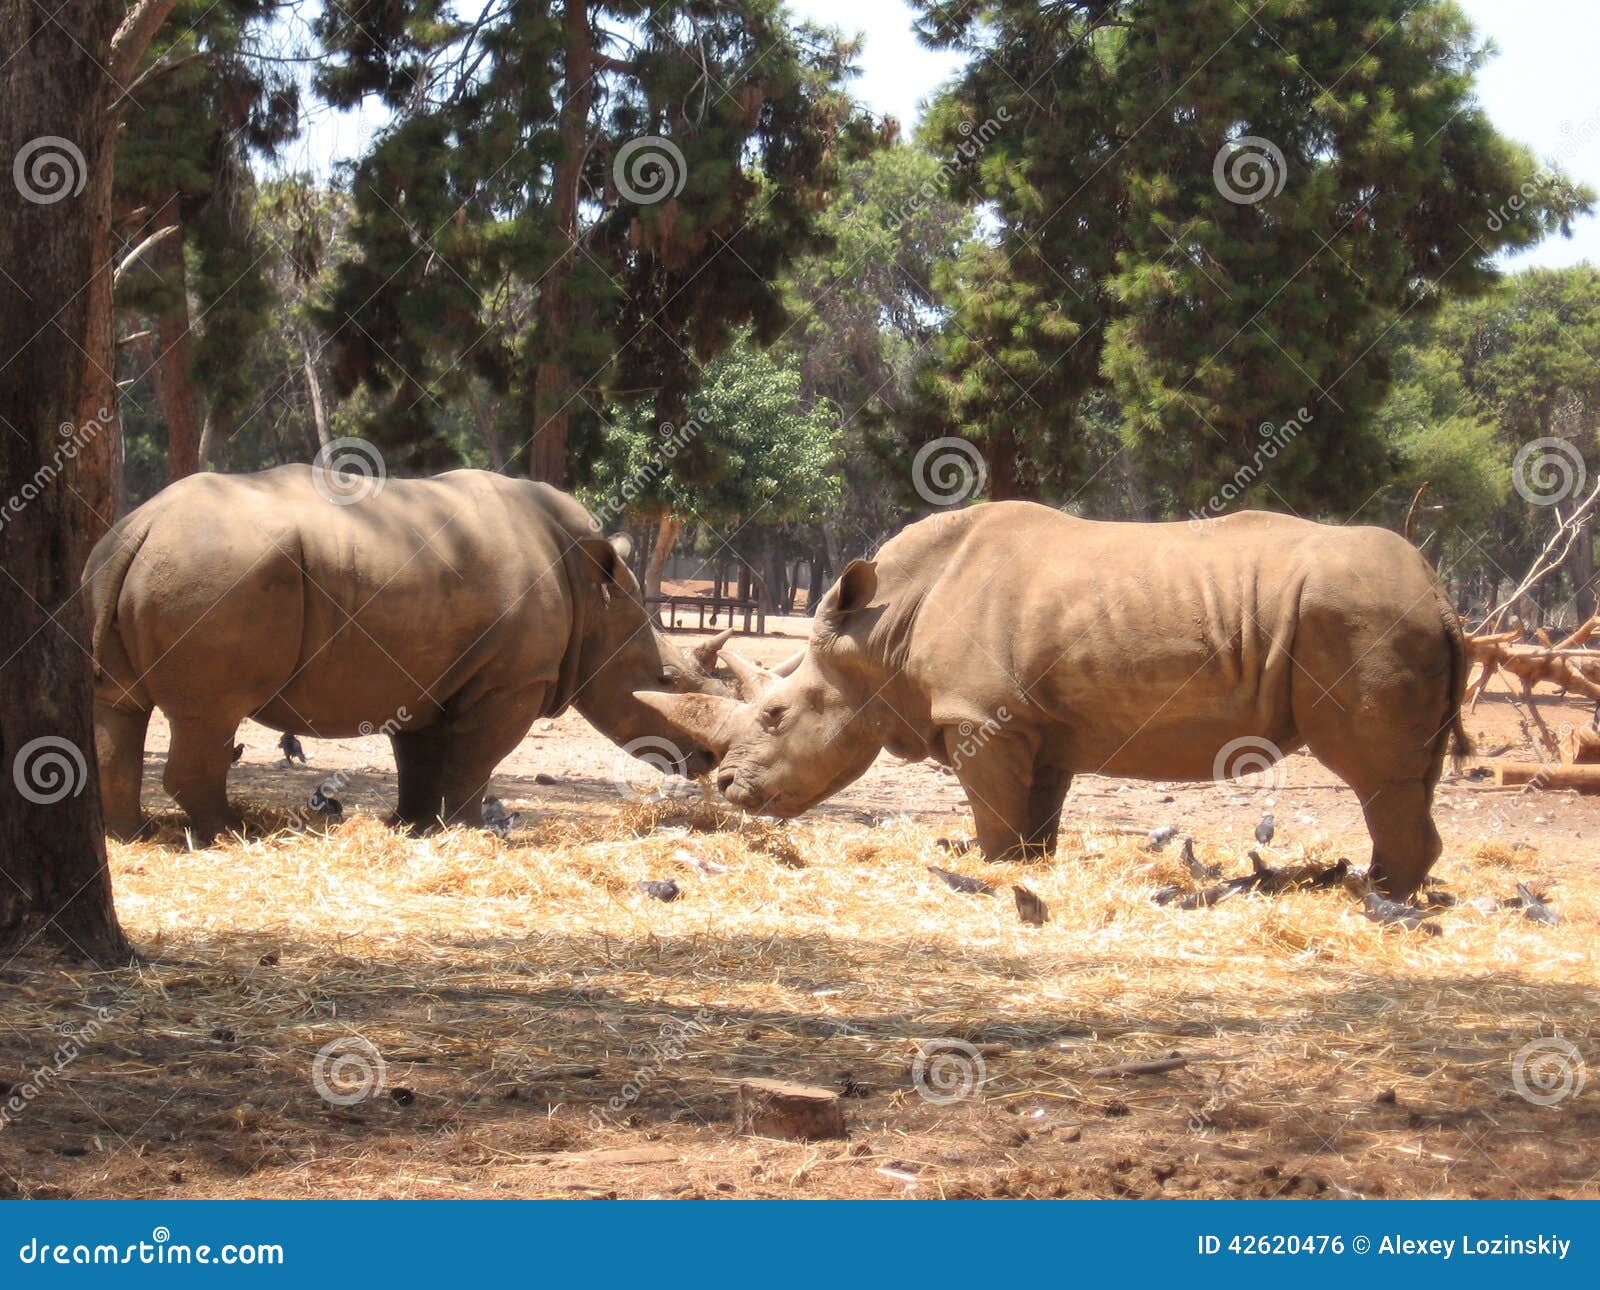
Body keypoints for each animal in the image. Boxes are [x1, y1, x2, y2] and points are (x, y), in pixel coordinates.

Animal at [84, 465, 732, 842]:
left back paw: (132, 834)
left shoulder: (427, 674)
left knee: (118, 707)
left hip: (123, 562)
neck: (595, 597)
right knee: (211, 716)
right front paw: (467, 831)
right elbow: (478, 759)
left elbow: (420, 757)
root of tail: (142, 524)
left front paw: (412, 824)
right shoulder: (512, 680)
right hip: (216, 573)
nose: (711, 760)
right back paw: (231, 832)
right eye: (666, 680)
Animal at [637, 503, 1471, 897]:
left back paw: (1375, 898)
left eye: (776, 716)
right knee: (1412, 779)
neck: (878, 635)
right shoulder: (1041, 722)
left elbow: (997, 819)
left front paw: (990, 872)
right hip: (1391, 619)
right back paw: (1385, 891)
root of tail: (1442, 594)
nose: (724, 785)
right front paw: (1031, 871)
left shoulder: (982, 717)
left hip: (1365, 619)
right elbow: (1036, 817)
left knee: (1378, 777)